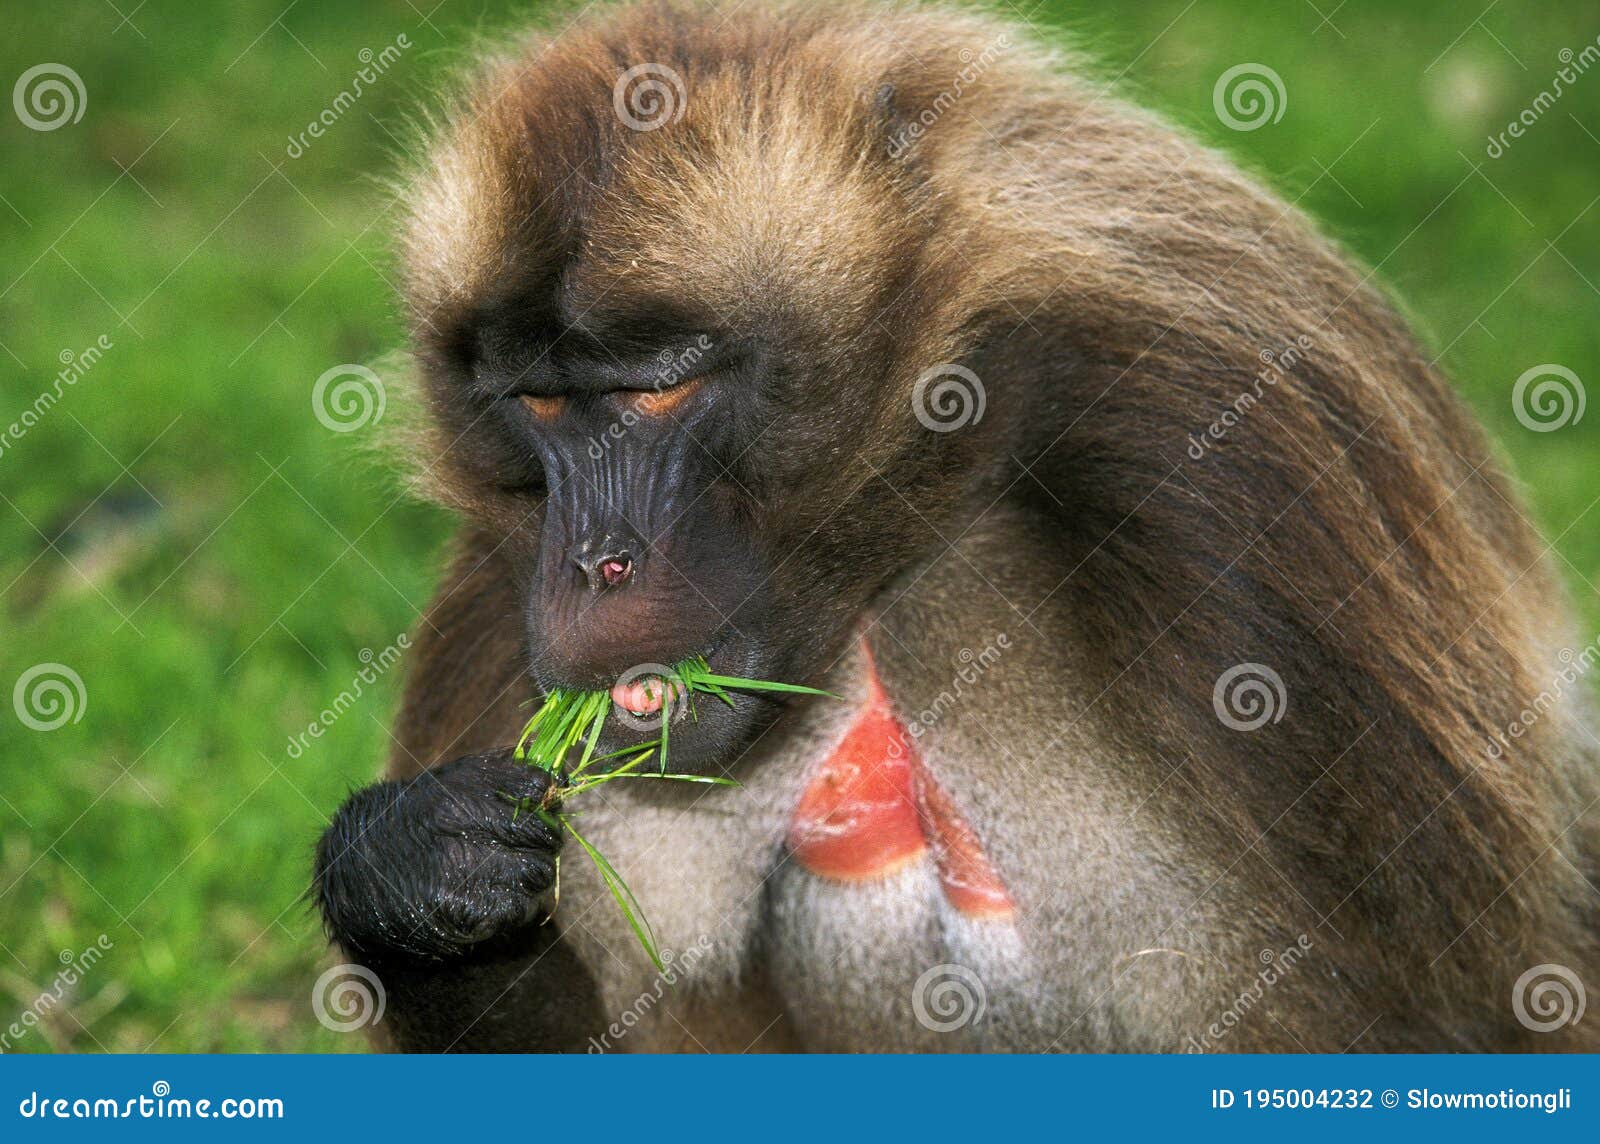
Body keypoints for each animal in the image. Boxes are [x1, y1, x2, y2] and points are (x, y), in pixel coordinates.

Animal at [312, 0, 1599, 1052]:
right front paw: (420, 873)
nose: (590, 567)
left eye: (657, 392)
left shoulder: (1239, 490)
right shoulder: (502, 576)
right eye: (536, 402)